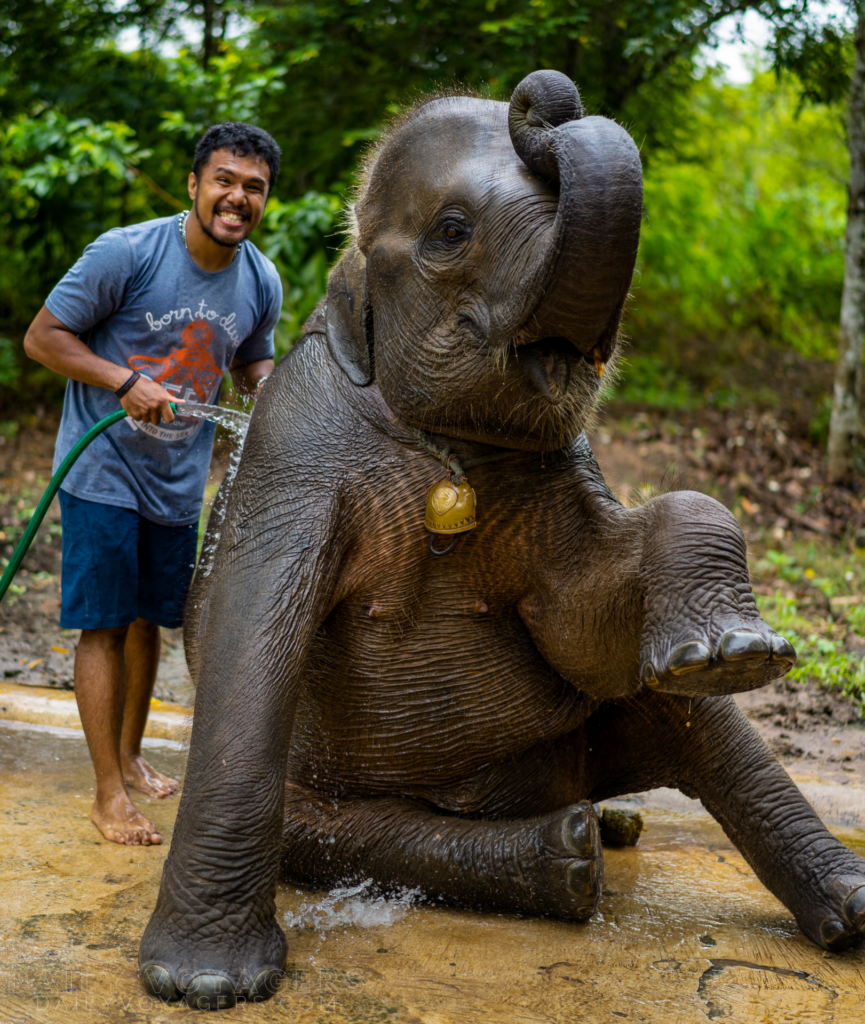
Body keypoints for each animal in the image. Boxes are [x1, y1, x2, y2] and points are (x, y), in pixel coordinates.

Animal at [139, 70, 865, 1010]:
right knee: (327, 831)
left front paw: (731, 655)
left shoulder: (561, 473)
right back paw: (570, 858)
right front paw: (203, 987)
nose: (546, 96)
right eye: (452, 232)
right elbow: (252, 629)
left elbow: (585, 629)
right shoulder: (288, 452)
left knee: (702, 727)